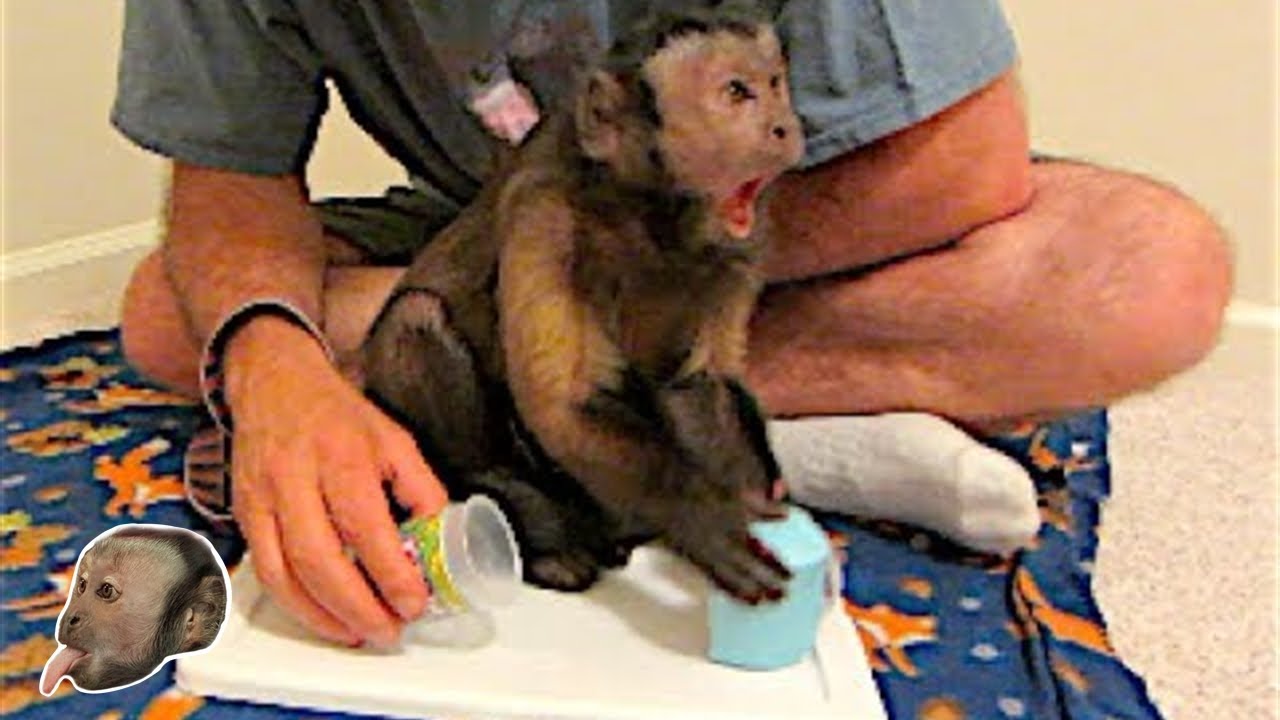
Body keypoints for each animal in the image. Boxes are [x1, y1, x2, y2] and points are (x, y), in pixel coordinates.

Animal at [363, 0, 805, 604]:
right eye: (737, 92)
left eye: (776, 84)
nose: (784, 123)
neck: (649, 214)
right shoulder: (547, 214)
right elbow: (565, 407)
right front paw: (711, 520)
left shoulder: (742, 247)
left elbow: (696, 386)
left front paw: (750, 497)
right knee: (416, 320)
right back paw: (530, 520)